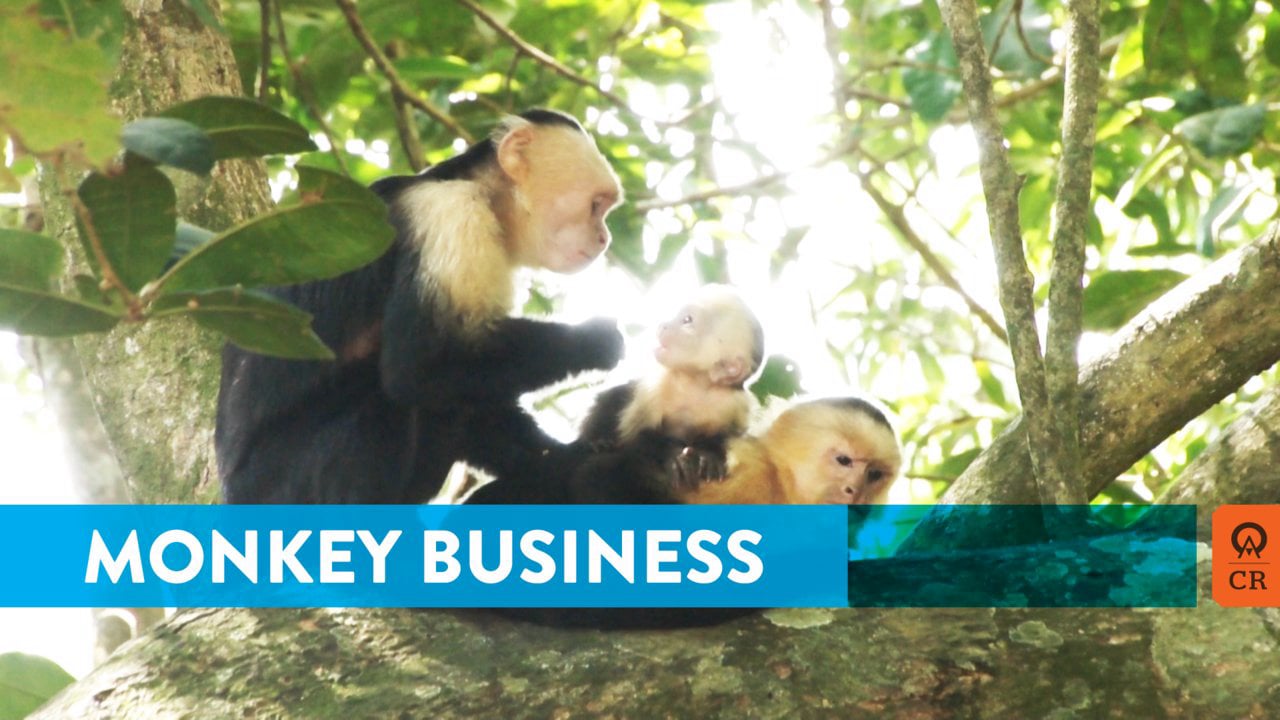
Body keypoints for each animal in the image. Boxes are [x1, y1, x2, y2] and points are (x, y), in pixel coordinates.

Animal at [217, 109, 627, 504]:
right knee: (379, 398)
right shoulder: (447, 213)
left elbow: (476, 390)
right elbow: (421, 365)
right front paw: (594, 340)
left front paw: (560, 457)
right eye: (596, 205)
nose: (605, 238)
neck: (484, 194)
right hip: (276, 484)